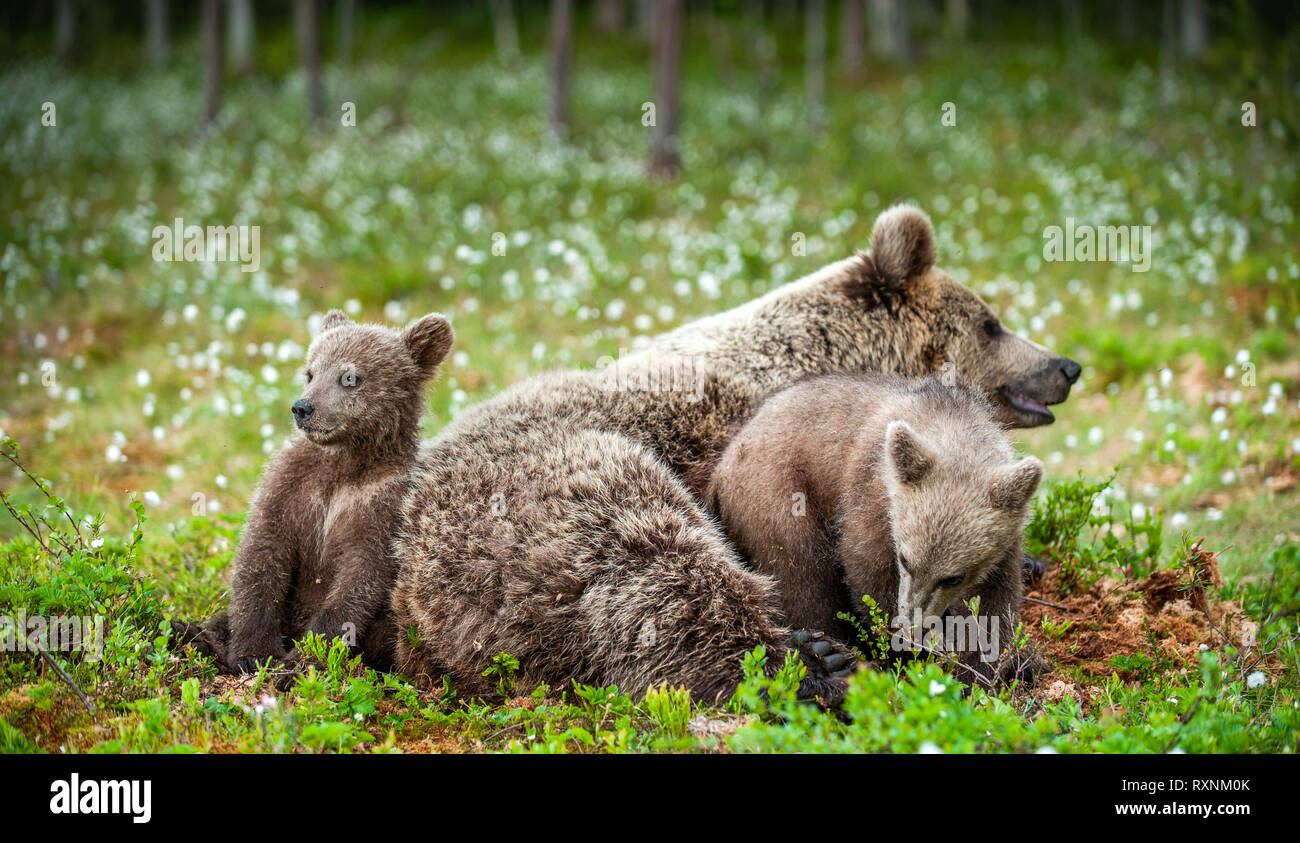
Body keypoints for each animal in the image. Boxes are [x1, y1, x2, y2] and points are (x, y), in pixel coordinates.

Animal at [174, 309, 453, 682]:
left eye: (349, 377)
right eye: (310, 372)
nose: (303, 407)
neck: (345, 463)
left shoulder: (385, 504)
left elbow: (359, 579)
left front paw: (302, 660)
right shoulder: (291, 484)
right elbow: (262, 554)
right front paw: (252, 653)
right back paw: (194, 635)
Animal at [706, 372, 1043, 685]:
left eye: (953, 578)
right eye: (905, 560)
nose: (911, 628)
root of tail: (721, 467)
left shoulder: (1004, 537)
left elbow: (993, 602)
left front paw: (980, 669)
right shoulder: (874, 497)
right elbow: (866, 570)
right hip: (776, 493)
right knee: (800, 575)